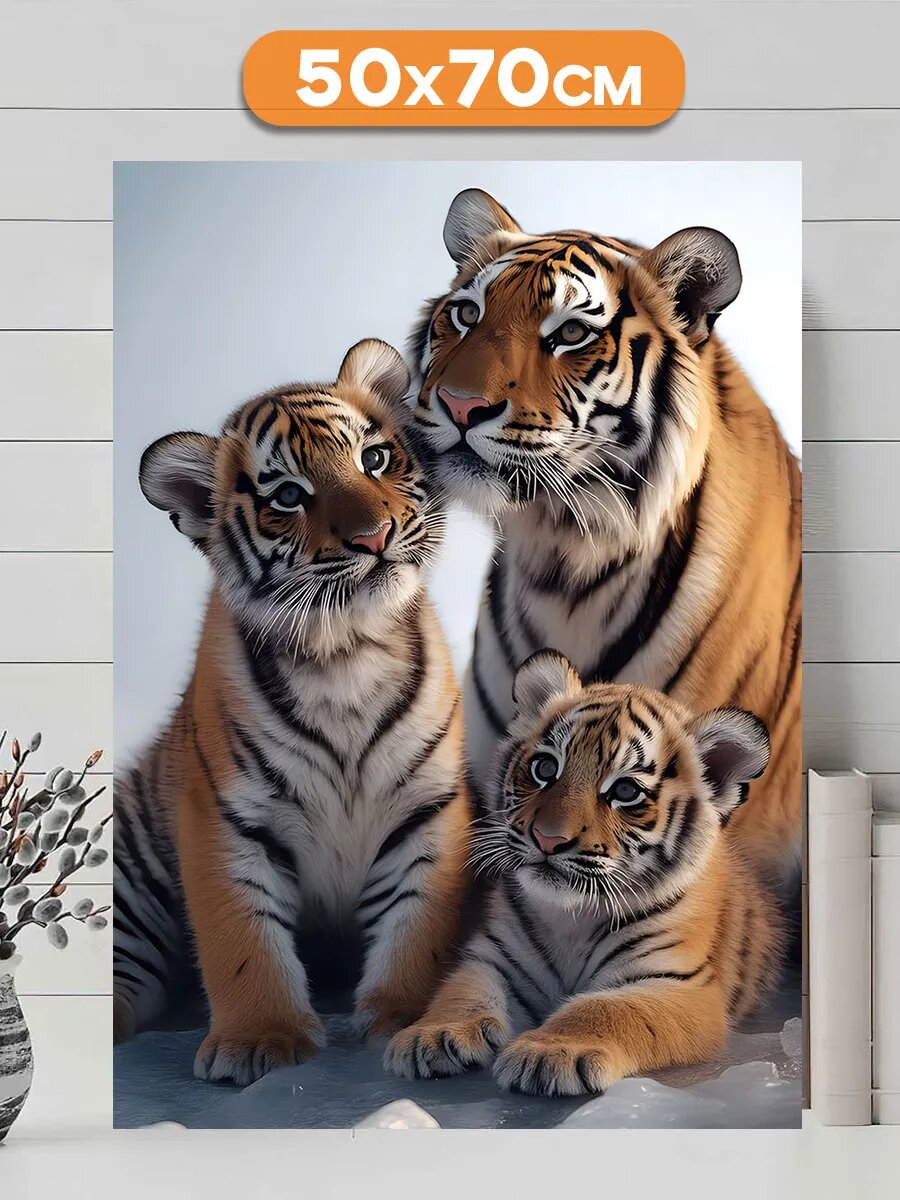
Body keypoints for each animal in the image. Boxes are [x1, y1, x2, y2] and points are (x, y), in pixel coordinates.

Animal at [113, 339, 472, 1085]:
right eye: (287, 496)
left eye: (375, 459)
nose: (376, 536)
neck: (345, 653)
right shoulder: (224, 819)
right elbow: (241, 939)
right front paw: (260, 1038)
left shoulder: (428, 809)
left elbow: (418, 927)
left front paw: (404, 1016)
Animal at [385, 651, 784, 1097]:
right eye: (544, 768)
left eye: (625, 791)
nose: (547, 839)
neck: (572, 916)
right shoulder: (495, 958)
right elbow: (463, 991)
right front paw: (432, 1034)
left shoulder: (678, 984)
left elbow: (606, 1008)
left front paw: (550, 1052)